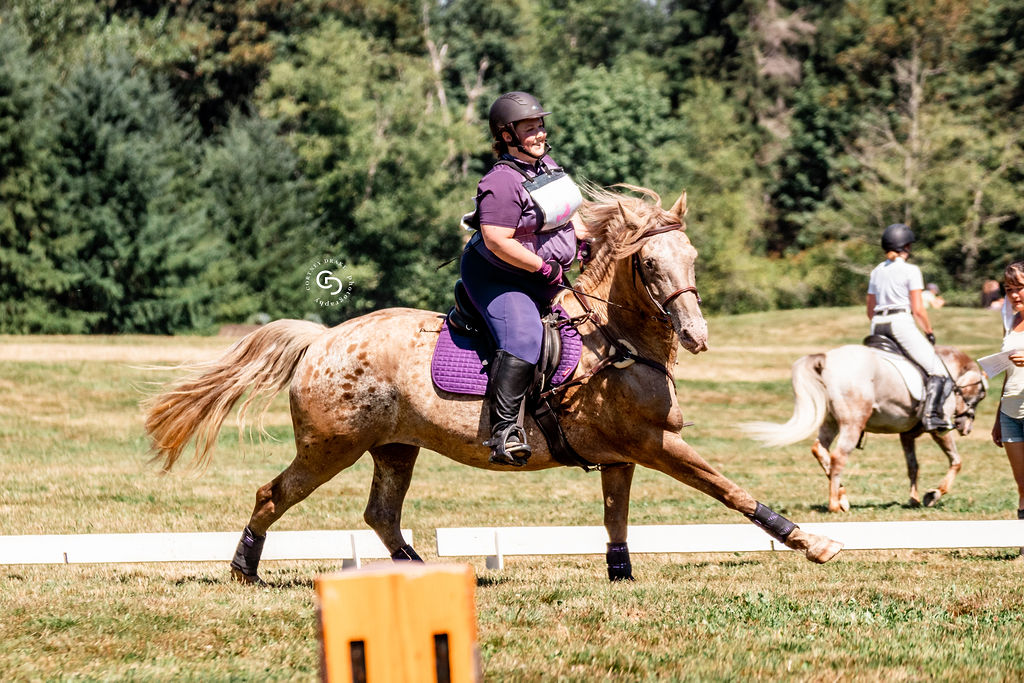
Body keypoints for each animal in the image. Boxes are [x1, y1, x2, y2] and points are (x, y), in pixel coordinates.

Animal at [144, 185, 842, 584]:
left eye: (692, 258)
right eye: (648, 264)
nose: (697, 336)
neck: (618, 341)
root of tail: (322, 339)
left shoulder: (621, 456)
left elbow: (616, 520)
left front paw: (620, 576)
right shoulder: (653, 445)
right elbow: (730, 489)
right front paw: (813, 542)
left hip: (394, 448)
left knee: (381, 514)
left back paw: (420, 574)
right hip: (330, 447)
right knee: (274, 494)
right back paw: (244, 570)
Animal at [741, 344, 987, 513]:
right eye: (981, 395)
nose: (966, 428)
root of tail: (827, 359)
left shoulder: (907, 435)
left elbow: (913, 467)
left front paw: (914, 499)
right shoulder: (938, 430)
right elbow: (956, 461)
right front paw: (933, 495)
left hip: (831, 422)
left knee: (819, 450)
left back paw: (842, 496)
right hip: (853, 424)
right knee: (838, 457)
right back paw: (834, 504)